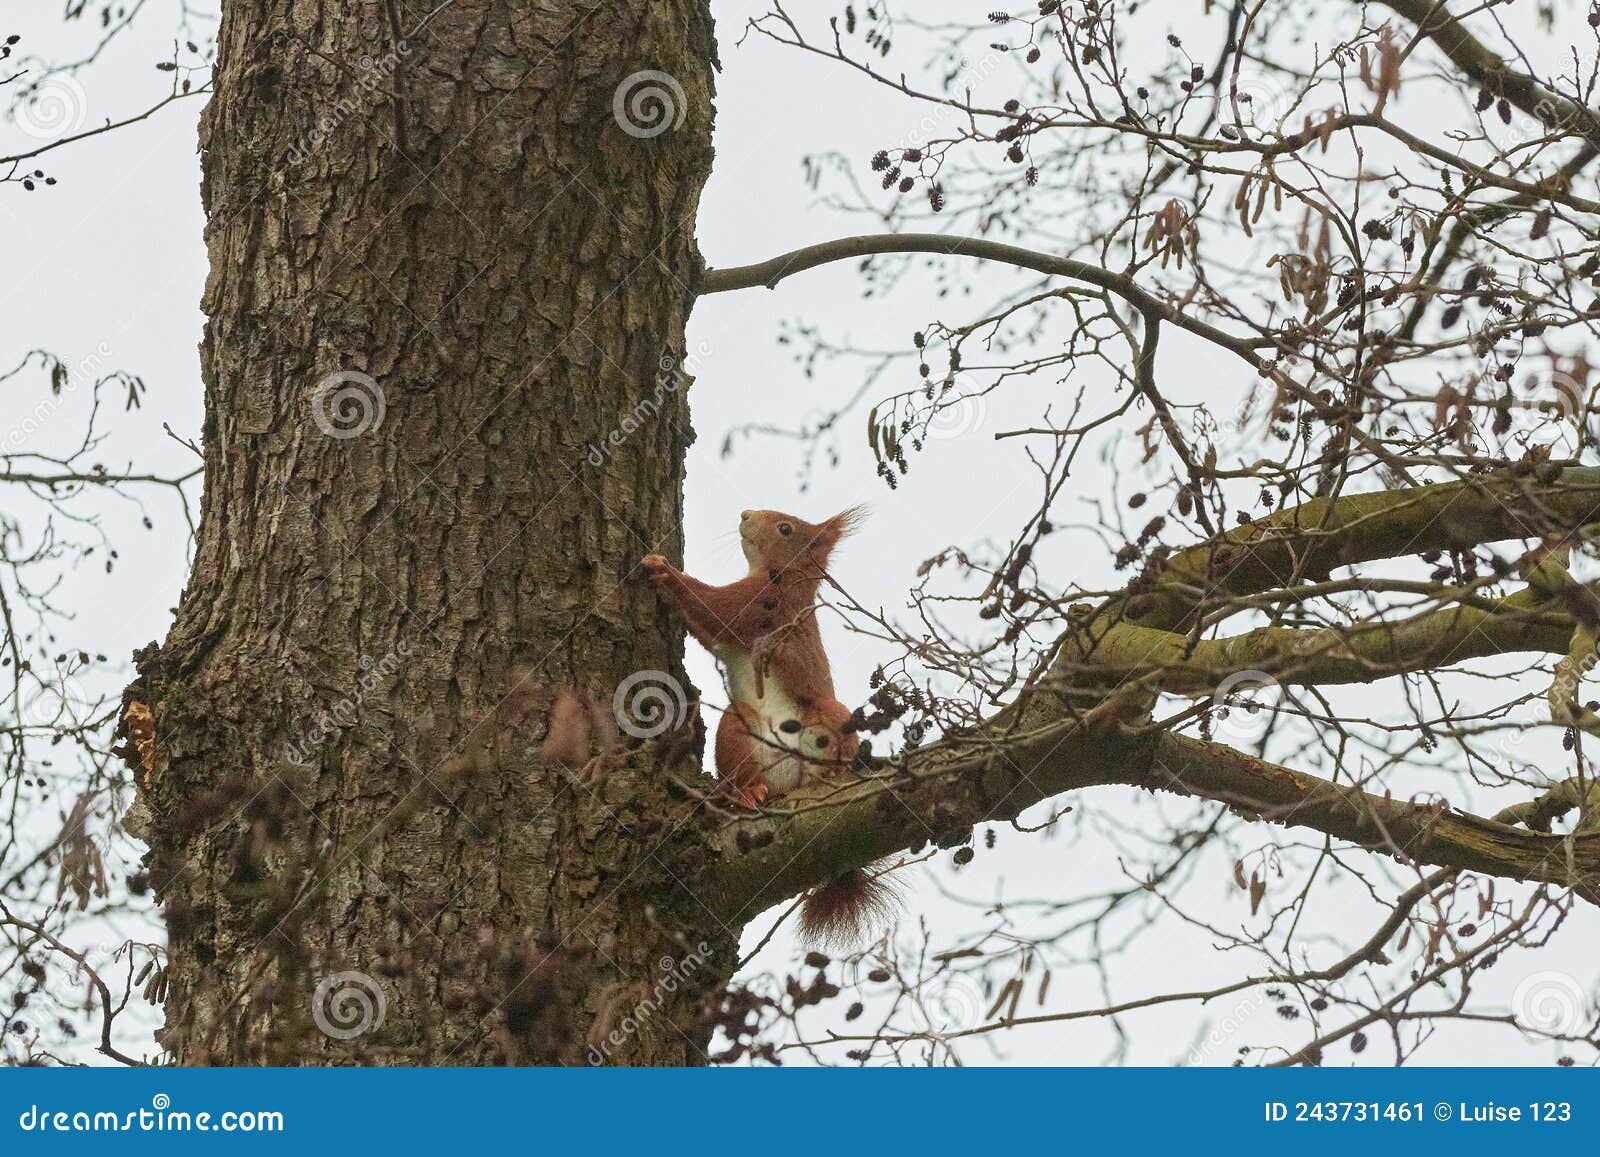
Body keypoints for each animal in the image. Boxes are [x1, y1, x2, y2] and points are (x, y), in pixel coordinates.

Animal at [640, 506, 898, 945]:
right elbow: (709, 631)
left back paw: (835, 772)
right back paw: (747, 792)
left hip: (828, 716)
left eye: (785, 528)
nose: (745, 513)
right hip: (741, 727)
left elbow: (716, 607)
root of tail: (791, 779)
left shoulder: (765, 602)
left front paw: (665, 571)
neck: (787, 577)